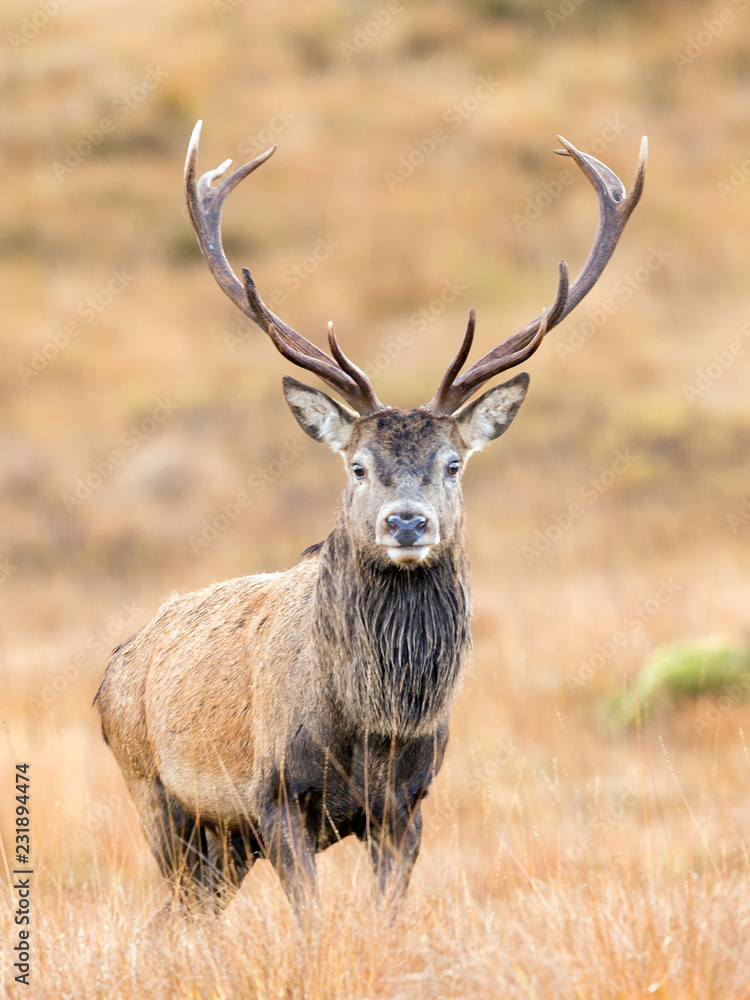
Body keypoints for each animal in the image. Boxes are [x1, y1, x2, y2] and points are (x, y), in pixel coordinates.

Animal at [95, 122, 646, 910]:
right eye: (357, 465)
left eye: (453, 463)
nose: (406, 523)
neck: (373, 731)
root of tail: (110, 674)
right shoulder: (274, 797)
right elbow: (312, 919)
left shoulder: (407, 806)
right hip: (158, 798)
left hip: (222, 845)